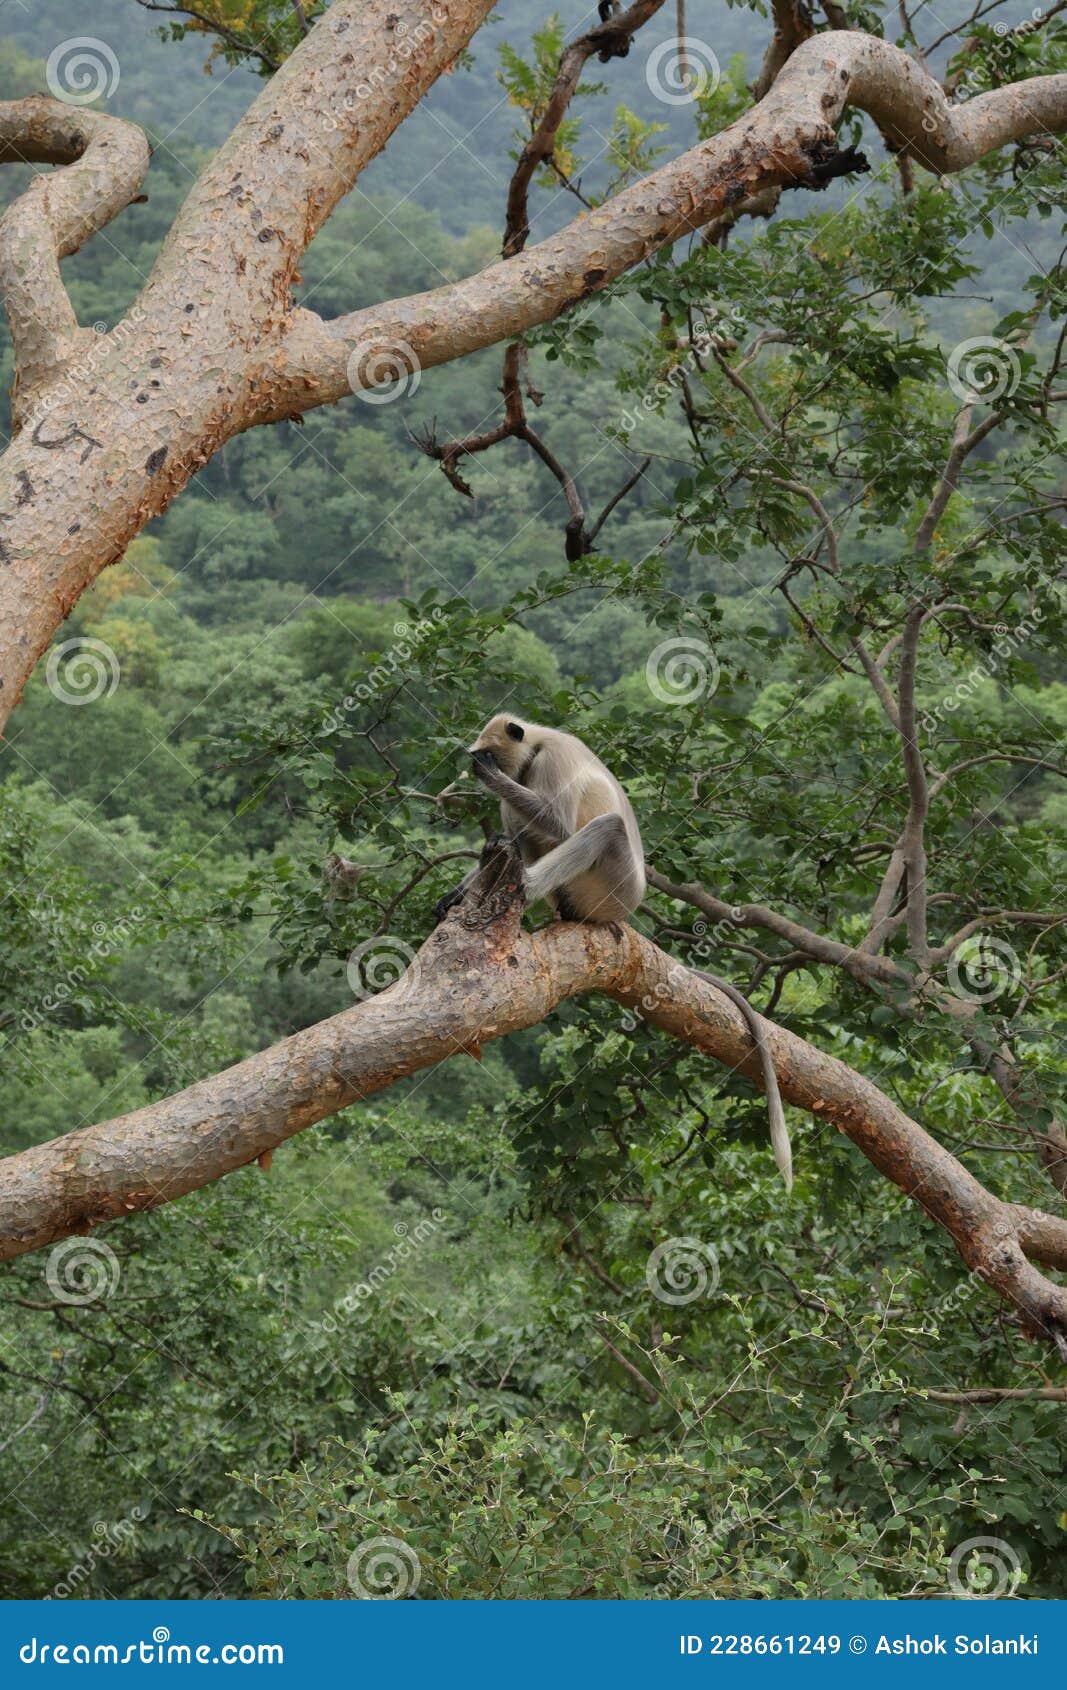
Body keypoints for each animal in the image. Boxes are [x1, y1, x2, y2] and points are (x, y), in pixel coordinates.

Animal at [434, 714, 793, 1189]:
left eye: (487, 752)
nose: (477, 763)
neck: (537, 742)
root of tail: (628, 905)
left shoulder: (550, 761)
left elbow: (559, 824)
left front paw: (490, 777)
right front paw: (457, 892)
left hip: (608, 886)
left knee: (603, 827)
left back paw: (528, 885)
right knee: (520, 828)